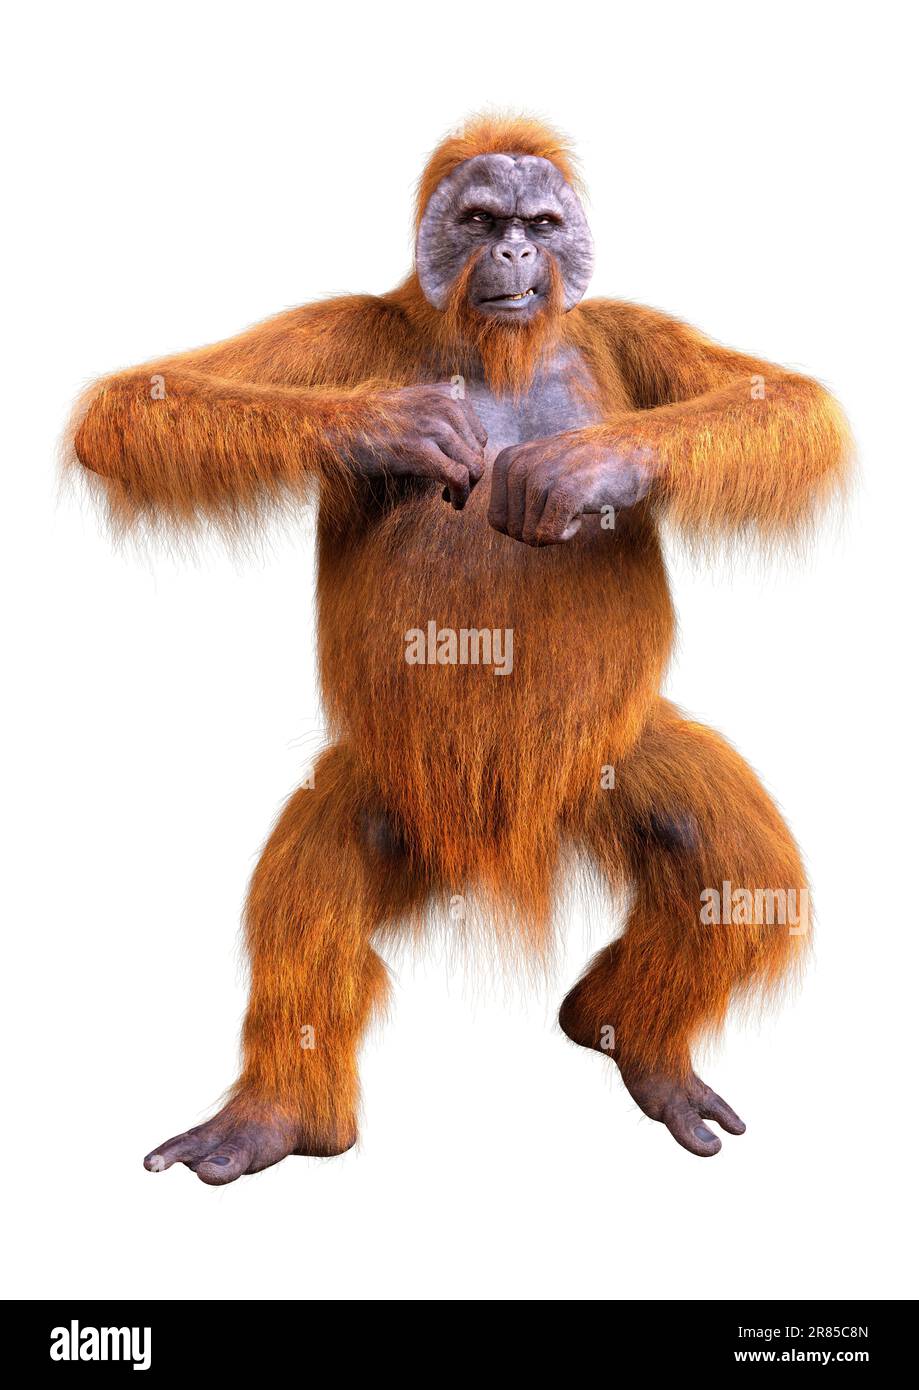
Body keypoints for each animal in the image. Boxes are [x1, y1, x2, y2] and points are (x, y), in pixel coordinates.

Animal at [68, 113, 850, 1183]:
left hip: (610, 754)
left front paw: (581, 464)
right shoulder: (341, 333)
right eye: (482, 219)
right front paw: (387, 428)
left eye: (539, 223)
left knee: (736, 874)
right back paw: (278, 1117)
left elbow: (792, 403)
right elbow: (132, 406)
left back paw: (630, 1042)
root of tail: (500, 836)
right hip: (396, 782)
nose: (515, 253)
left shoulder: (623, 328)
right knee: (319, 880)